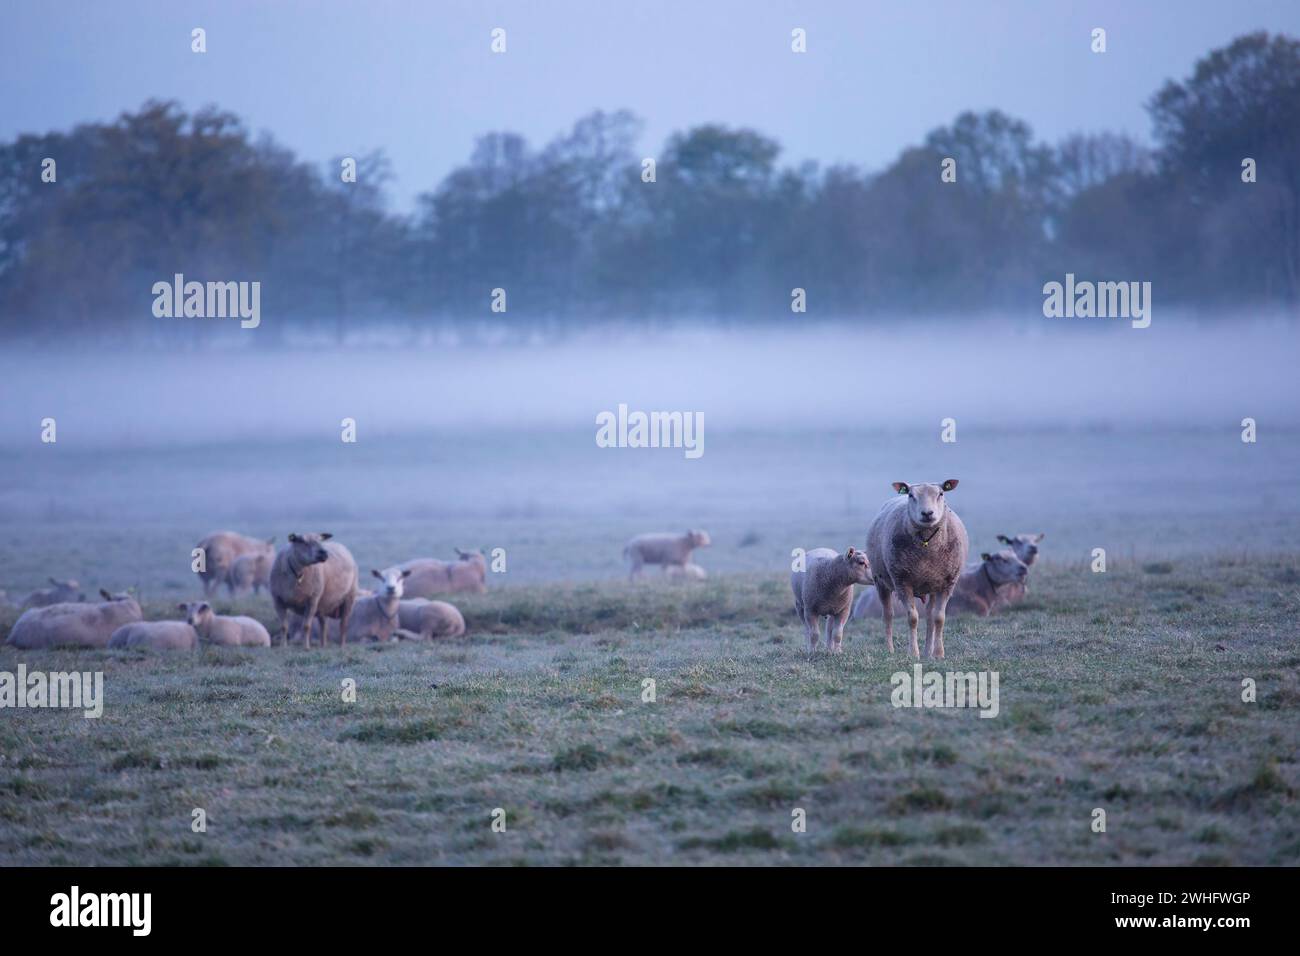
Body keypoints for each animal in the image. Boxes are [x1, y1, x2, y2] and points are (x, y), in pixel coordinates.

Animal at [865, 480, 969, 659]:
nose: (927, 513)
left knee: (929, 616)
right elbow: (912, 618)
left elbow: (939, 618)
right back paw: (890, 650)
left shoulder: (948, 583)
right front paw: (913, 653)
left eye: (941, 493)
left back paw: (928, 652)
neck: (927, 545)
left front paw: (938, 653)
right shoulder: (902, 581)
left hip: (932, 584)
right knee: (888, 615)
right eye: (911, 495)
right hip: (880, 581)